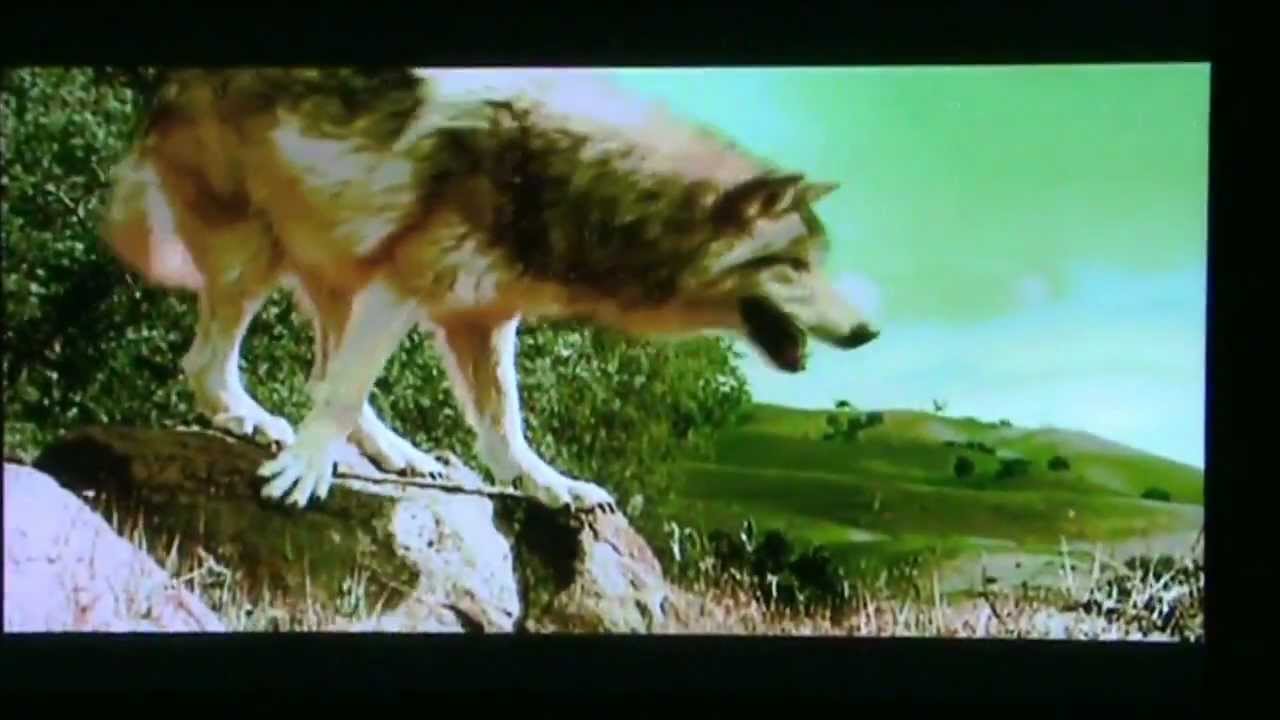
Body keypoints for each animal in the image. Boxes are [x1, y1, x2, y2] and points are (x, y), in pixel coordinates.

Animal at [100, 67, 879, 515]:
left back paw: (398, 456)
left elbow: (505, 428)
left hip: (335, 274)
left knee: (316, 373)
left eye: (823, 261)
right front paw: (305, 472)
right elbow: (348, 391)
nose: (868, 333)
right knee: (212, 367)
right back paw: (264, 426)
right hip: (253, 256)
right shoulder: (409, 283)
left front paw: (550, 487)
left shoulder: (482, 317)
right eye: (795, 264)